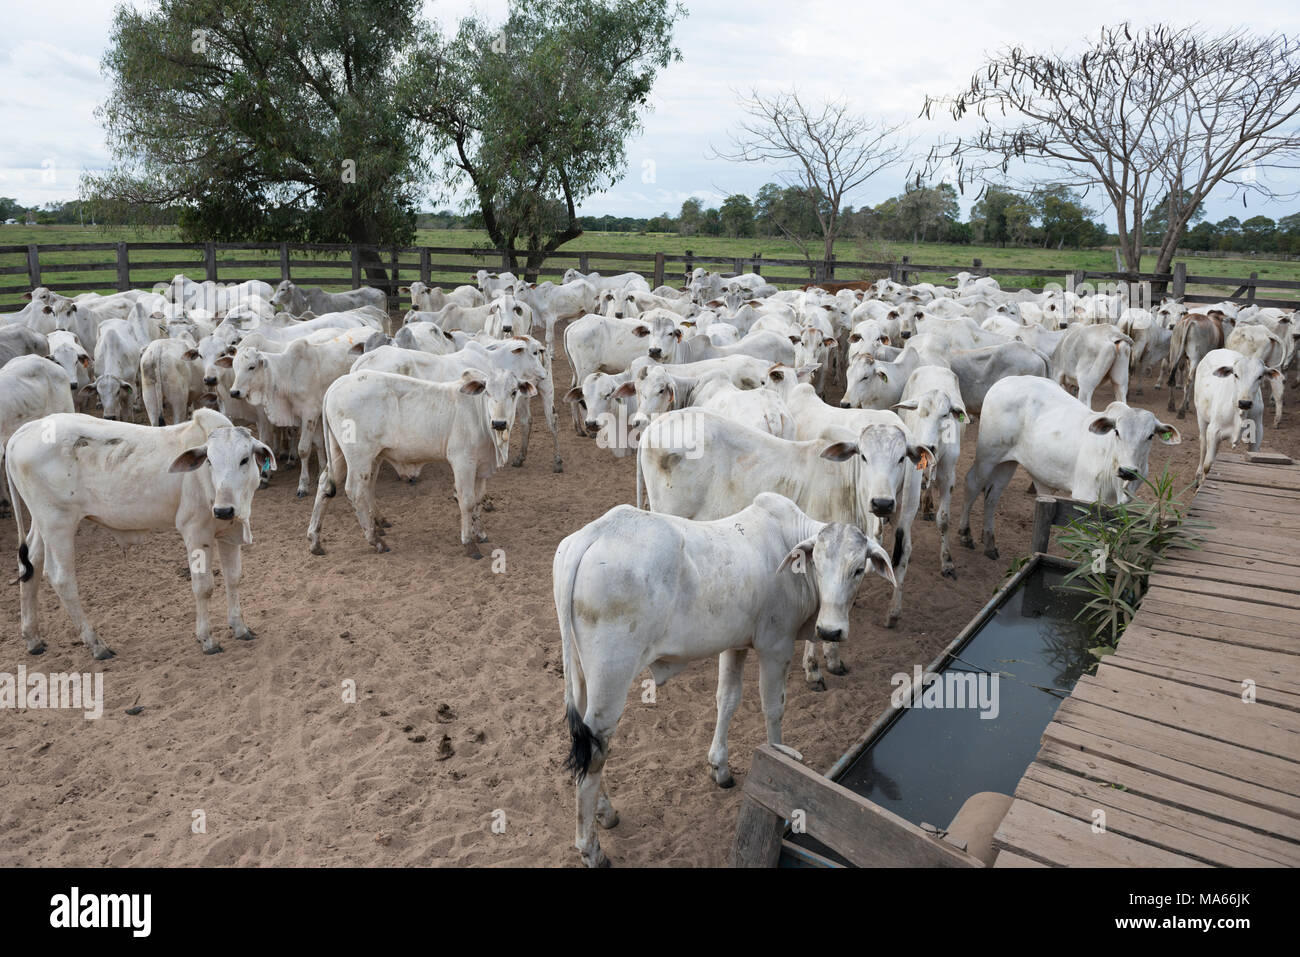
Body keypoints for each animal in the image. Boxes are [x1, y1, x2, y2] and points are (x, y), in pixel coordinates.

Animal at [6, 408, 274, 659]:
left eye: (244, 459)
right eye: (210, 461)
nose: (223, 509)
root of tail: (24, 431)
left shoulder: (229, 532)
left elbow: (233, 578)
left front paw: (240, 627)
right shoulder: (196, 531)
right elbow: (203, 586)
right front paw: (207, 638)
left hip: (42, 523)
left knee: (31, 565)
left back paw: (33, 638)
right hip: (58, 524)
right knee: (61, 578)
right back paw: (96, 644)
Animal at [307, 368, 535, 558]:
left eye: (514, 392)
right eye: (487, 392)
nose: (499, 423)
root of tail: (338, 383)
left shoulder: (481, 466)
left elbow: (478, 500)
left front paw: (480, 533)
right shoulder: (463, 462)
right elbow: (467, 501)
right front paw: (469, 543)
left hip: (341, 453)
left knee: (326, 484)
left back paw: (315, 540)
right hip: (359, 457)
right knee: (355, 491)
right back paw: (376, 540)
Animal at [555, 491, 894, 867]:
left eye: (858, 569)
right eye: (817, 564)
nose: (830, 631)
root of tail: (595, 533)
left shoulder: (735, 645)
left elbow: (727, 700)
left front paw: (720, 768)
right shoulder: (776, 646)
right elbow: (773, 707)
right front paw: (779, 761)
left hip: (583, 677)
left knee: (588, 746)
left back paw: (604, 811)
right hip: (610, 681)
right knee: (595, 750)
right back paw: (591, 848)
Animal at [958, 377, 1180, 559]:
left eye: (1150, 436)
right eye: (1117, 431)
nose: (1127, 471)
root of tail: (1003, 381)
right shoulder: (1086, 497)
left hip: (1008, 462)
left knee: (992, 494)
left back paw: (989, 544)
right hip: (988, 455)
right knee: (972, 483)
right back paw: (965, 534)